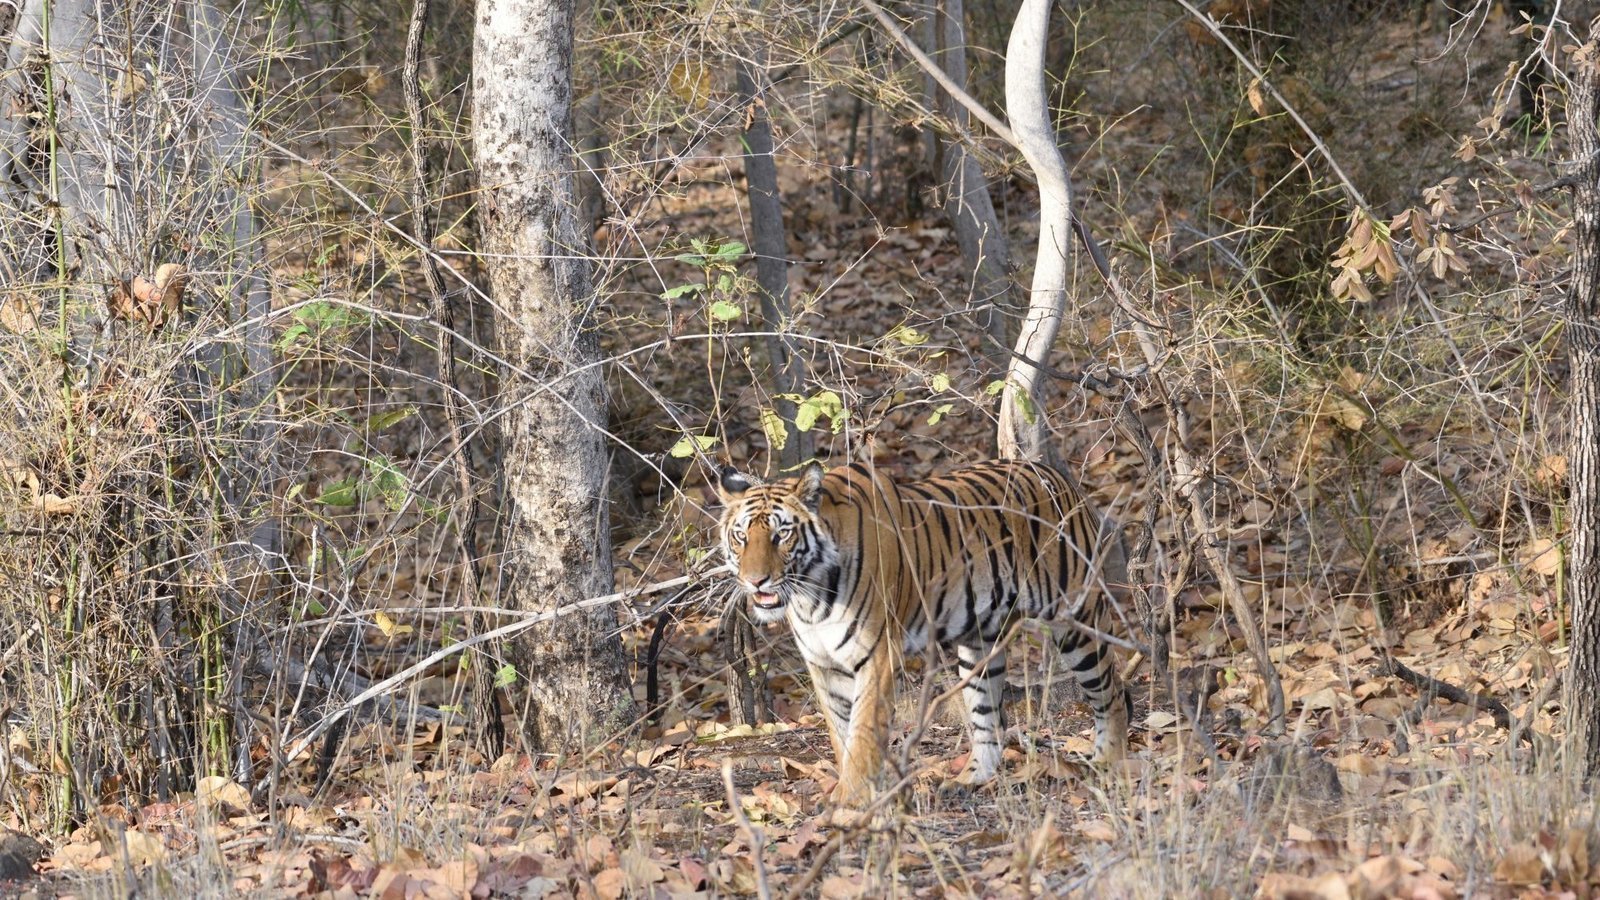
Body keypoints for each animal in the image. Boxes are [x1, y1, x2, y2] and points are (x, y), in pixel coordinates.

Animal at [717, 458, 1132, 805]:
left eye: (781, 535)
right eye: (741, 537)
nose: (755, 581)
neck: (810, 596)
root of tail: (1059, 477)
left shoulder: (876, 656)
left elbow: (862, 734)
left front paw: (850, 803)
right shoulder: (825, 666)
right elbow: (841, 735)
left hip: (1074, 620)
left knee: (1110, 692)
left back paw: (1110, 761)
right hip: (979, 645)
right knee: (989, 719)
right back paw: (970, 779)